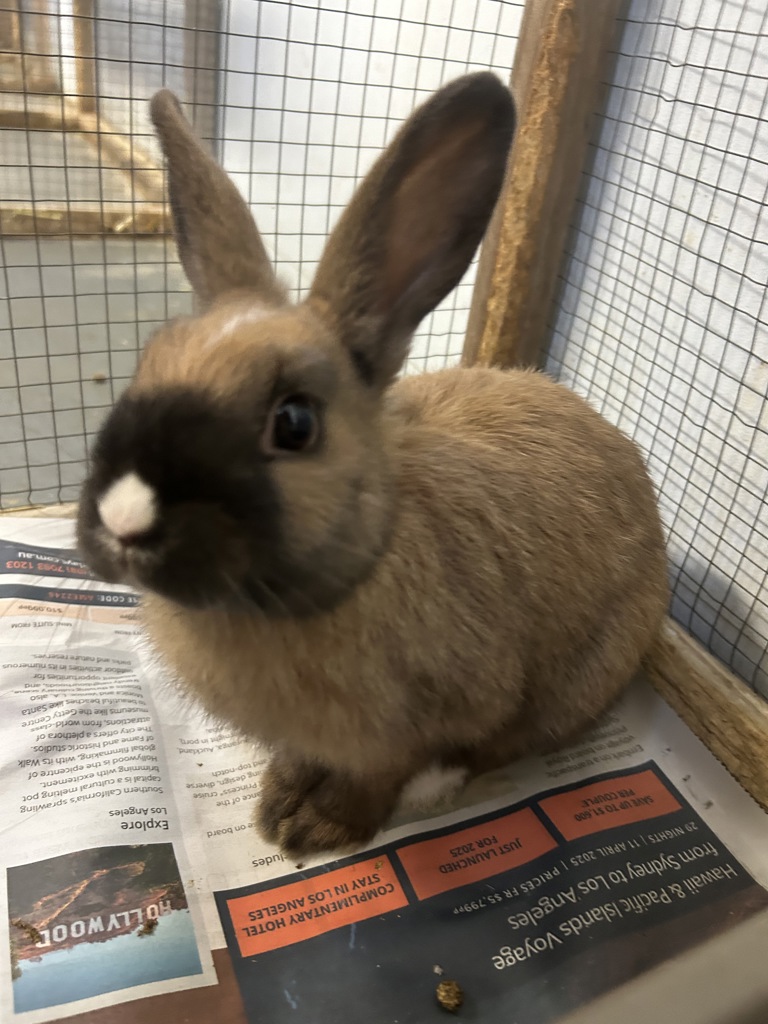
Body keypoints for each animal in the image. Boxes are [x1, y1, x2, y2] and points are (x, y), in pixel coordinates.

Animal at [77, 73, 669, 858]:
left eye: (294, 423)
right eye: (143, 370)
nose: (124, 515)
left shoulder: (421, 723)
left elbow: (384, 772)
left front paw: (319, 827)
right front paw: (276, 805)